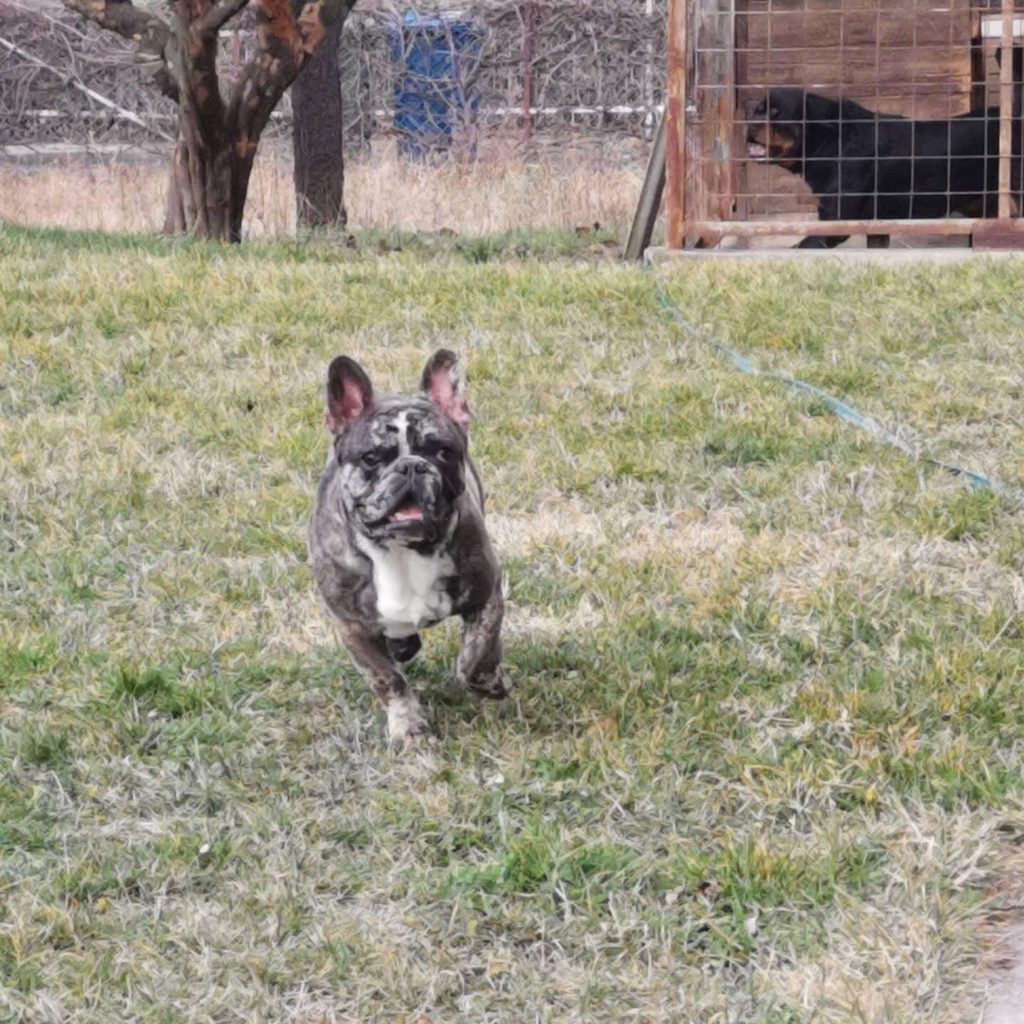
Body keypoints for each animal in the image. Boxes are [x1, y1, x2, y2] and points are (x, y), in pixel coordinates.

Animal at [745, 88, 1024, 247]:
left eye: (776, 113)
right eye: (757, 111)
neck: (830, 140)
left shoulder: (835, 221)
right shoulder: (876, 225)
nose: (749, 124)